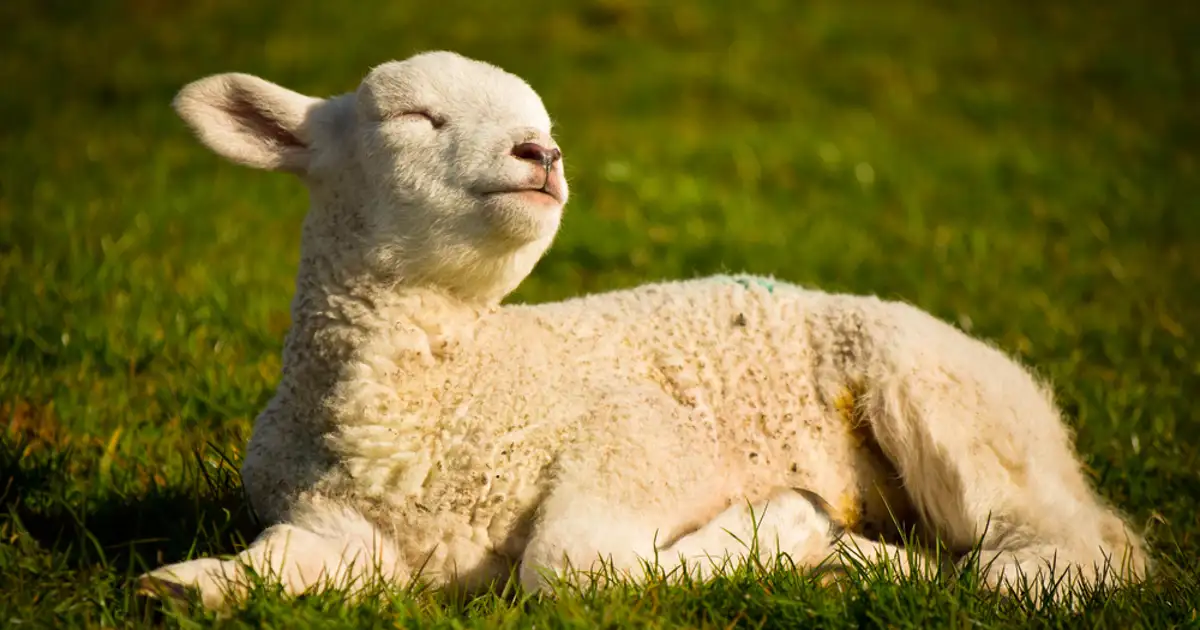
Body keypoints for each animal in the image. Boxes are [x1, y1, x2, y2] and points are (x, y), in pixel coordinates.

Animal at [138, 50, 1149, 610]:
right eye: (415, 117)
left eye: (543, 124)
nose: (540, 154)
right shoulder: (331, 523)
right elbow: (263, 571)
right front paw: (187, 586)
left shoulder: (642, 440)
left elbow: (566, 565)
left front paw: (785, 521)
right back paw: (861, 565)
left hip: (944, 401)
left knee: (1081, 545)